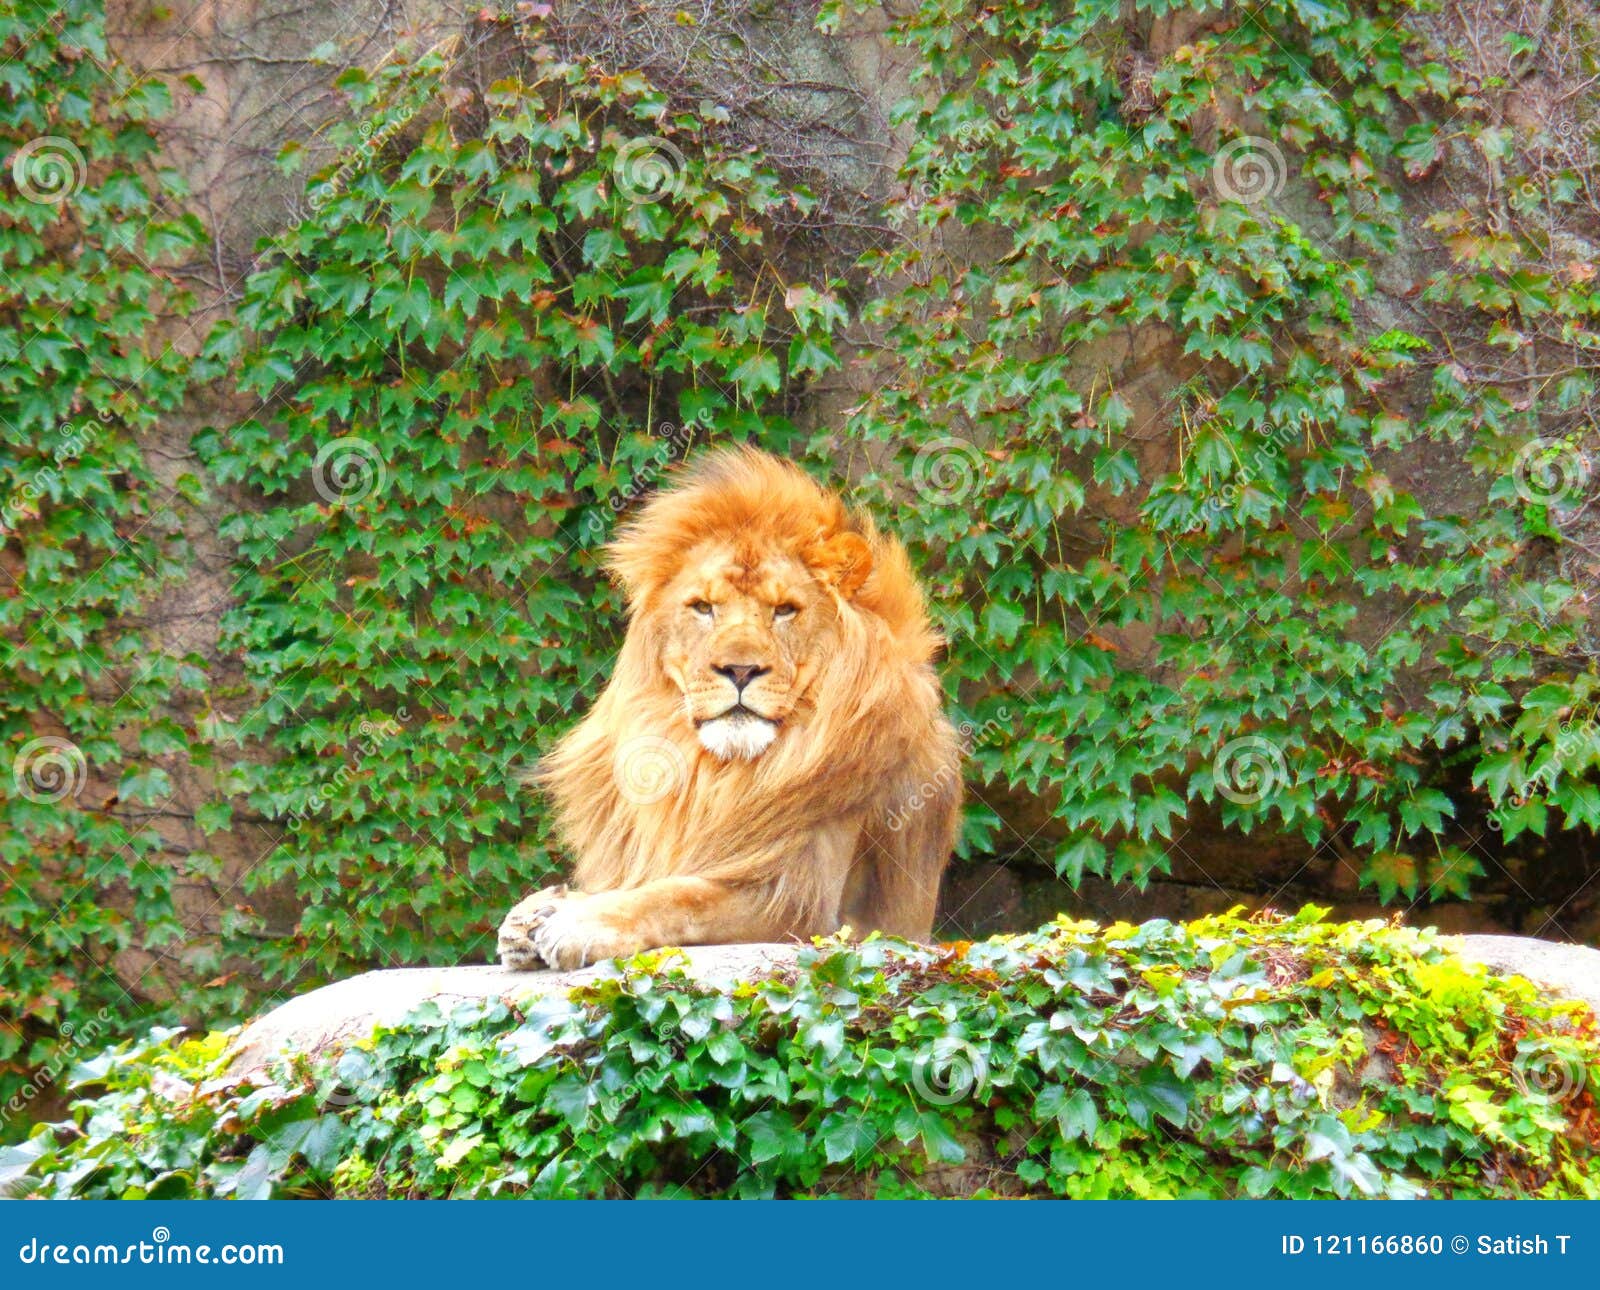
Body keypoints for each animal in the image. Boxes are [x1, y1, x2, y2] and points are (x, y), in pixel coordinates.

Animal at [496, 446, 962, 970]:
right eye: (703, 607)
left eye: (784, 610)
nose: (739, 669)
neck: (717, 774)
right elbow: (645, 882)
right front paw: (535, 912)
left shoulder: (805, 905)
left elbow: (676, 896)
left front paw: (580, 922)